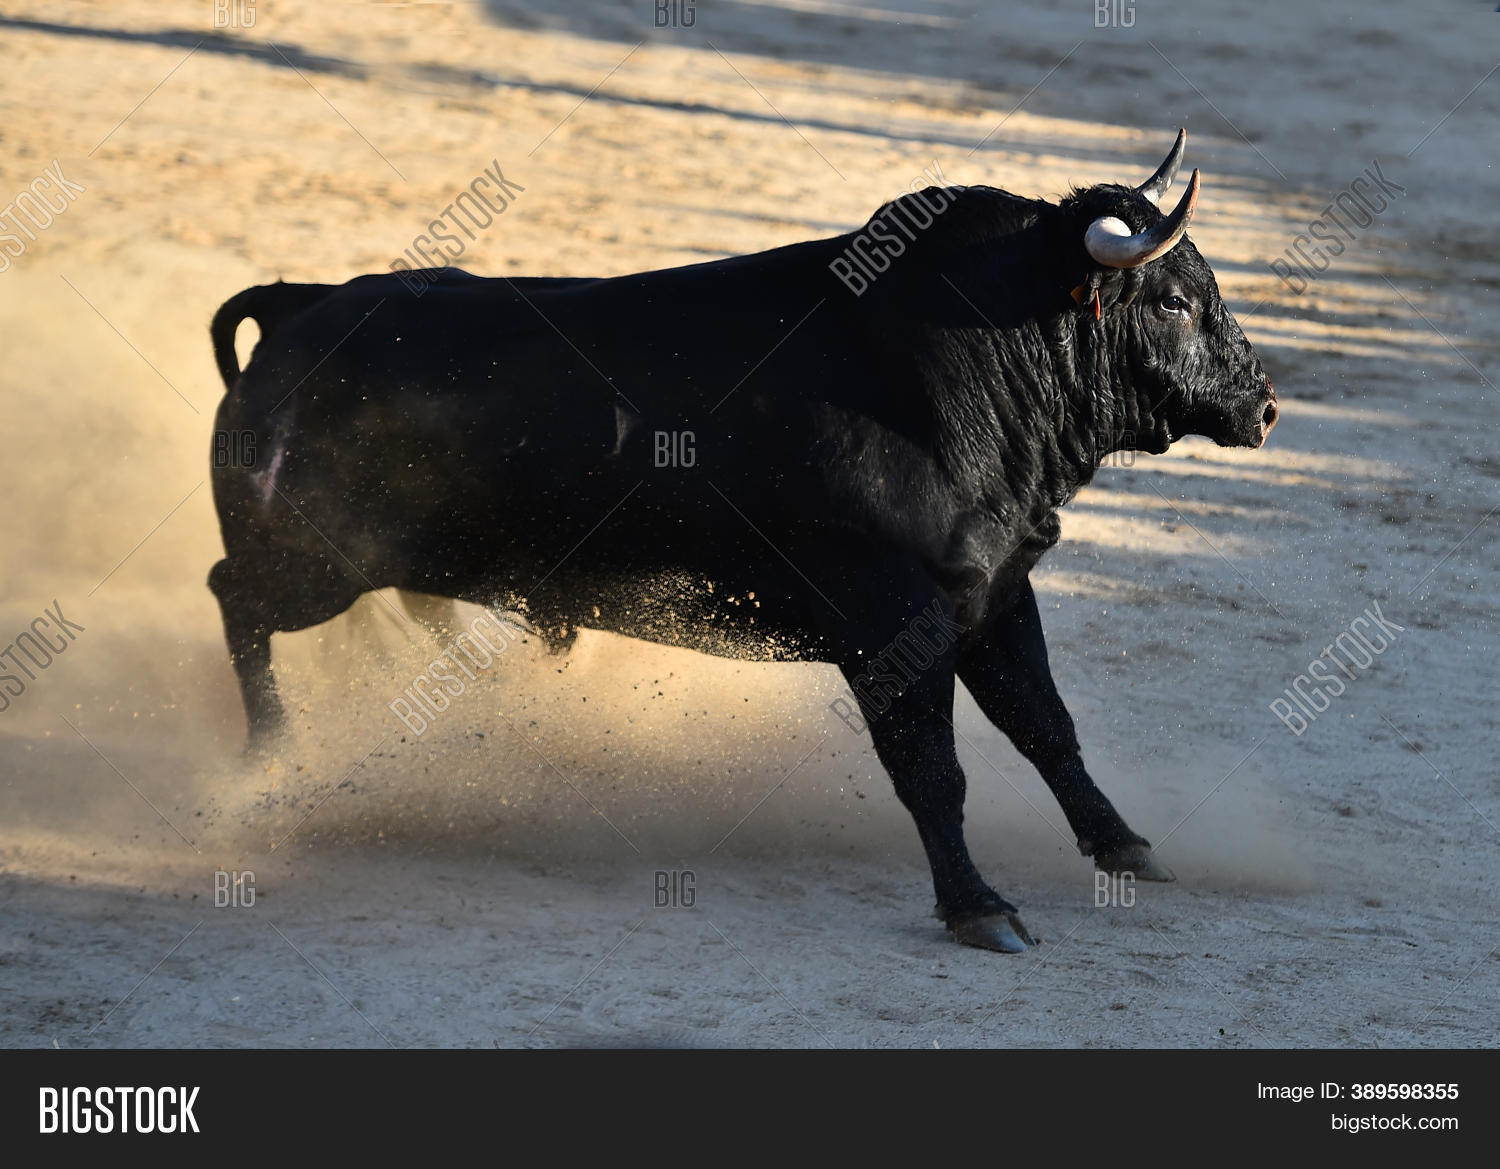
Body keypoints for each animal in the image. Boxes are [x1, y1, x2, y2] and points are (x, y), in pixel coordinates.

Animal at [208, 131, 1276, 952]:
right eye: (1173, 300)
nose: (1263, 406)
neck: (967, 364)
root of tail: (299, 311)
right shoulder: (891, 618)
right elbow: (933, 765)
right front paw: (979, 908)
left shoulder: (995, 593)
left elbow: (1046, 725)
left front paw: (1128, 847)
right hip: (315, 564)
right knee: (235, 598)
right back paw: (270, 756)